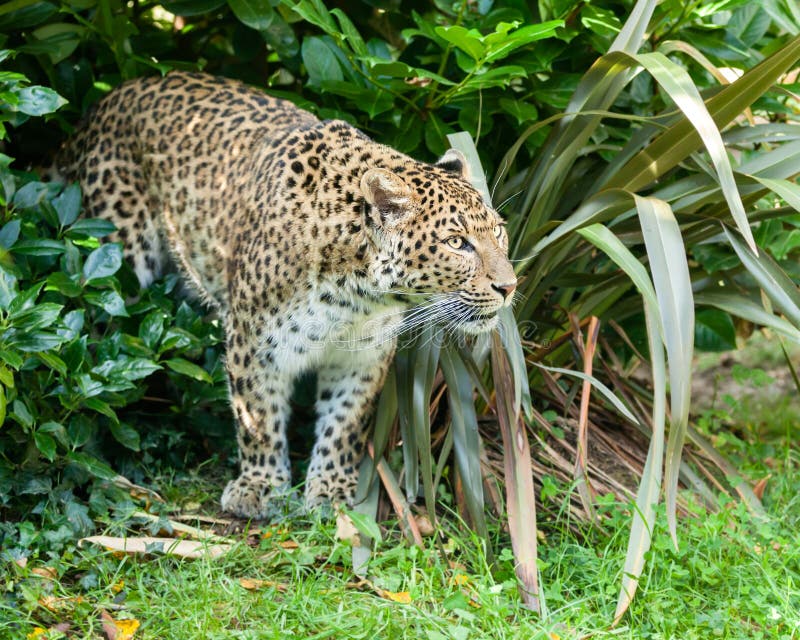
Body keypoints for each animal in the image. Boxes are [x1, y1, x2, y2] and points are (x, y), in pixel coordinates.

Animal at [52, 70, 516, 519]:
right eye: (457, 243)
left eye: (498, 231)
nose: (509, 286)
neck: (356, 297)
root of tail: (111, 97)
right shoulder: (253, 343)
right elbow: (257, 415)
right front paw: (259, 486)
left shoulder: (363, 355)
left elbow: (345, 422)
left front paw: (331, 489)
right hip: (119, 257)